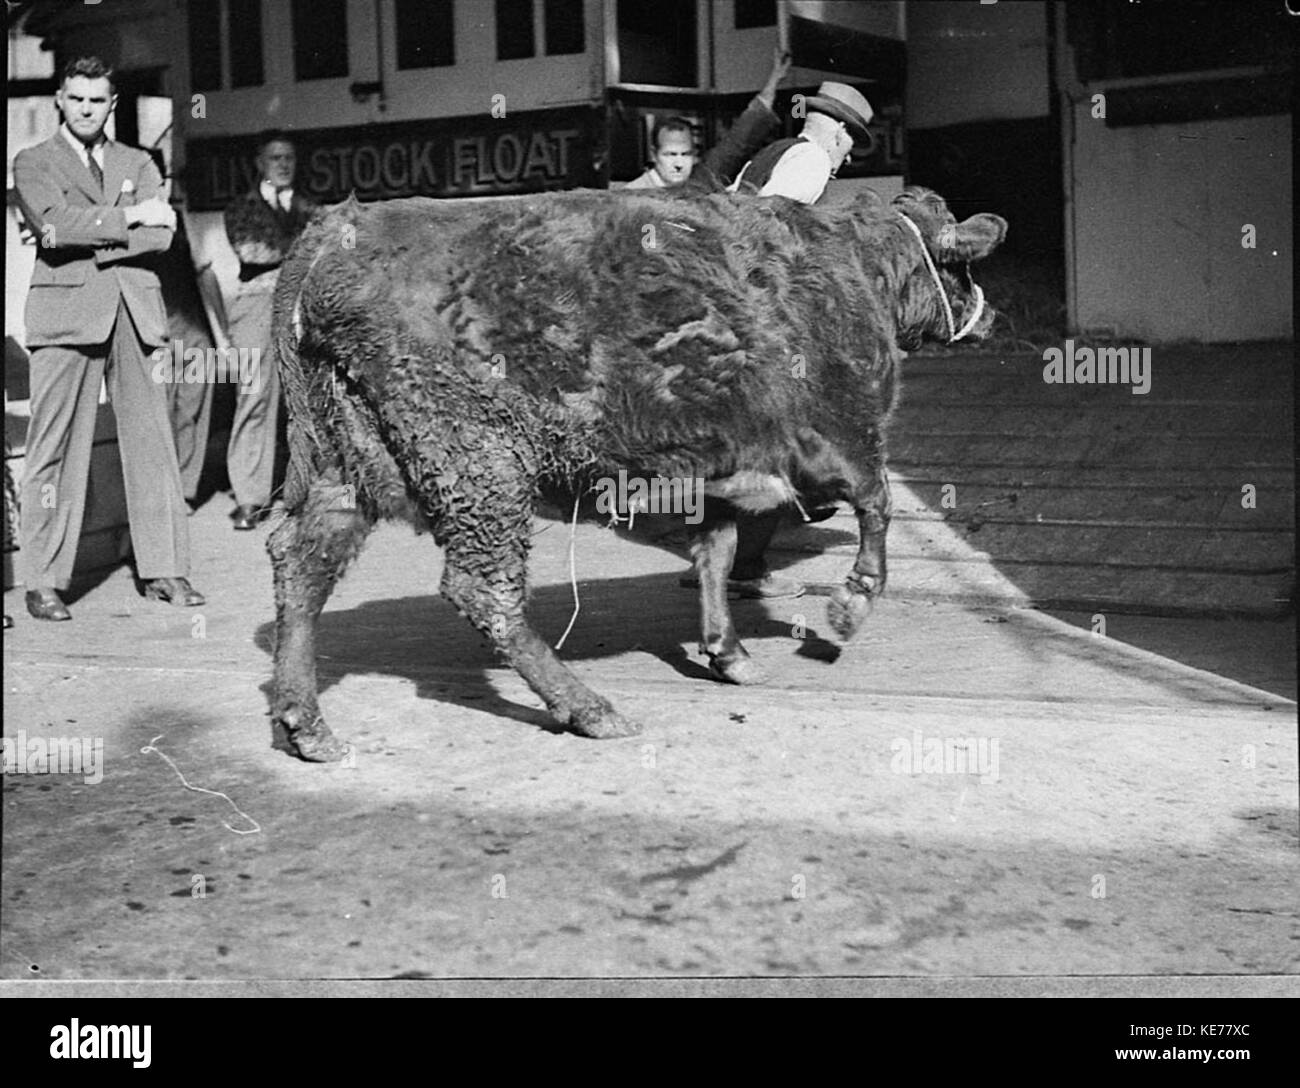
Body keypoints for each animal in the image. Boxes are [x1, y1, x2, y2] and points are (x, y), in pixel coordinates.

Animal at [266, 185, 1007, 760]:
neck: (857, 269)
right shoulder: (840, 439)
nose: (994, 315)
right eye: (961, 271)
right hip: (478, 465)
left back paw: (305, 724)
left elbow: (716, 554)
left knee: (301, 564)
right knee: (482, 591)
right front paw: (850, 604)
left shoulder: (724, 464)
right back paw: (589, 708)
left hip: (349, 461)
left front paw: (727, 651)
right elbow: (878, 505)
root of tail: (338, 230)